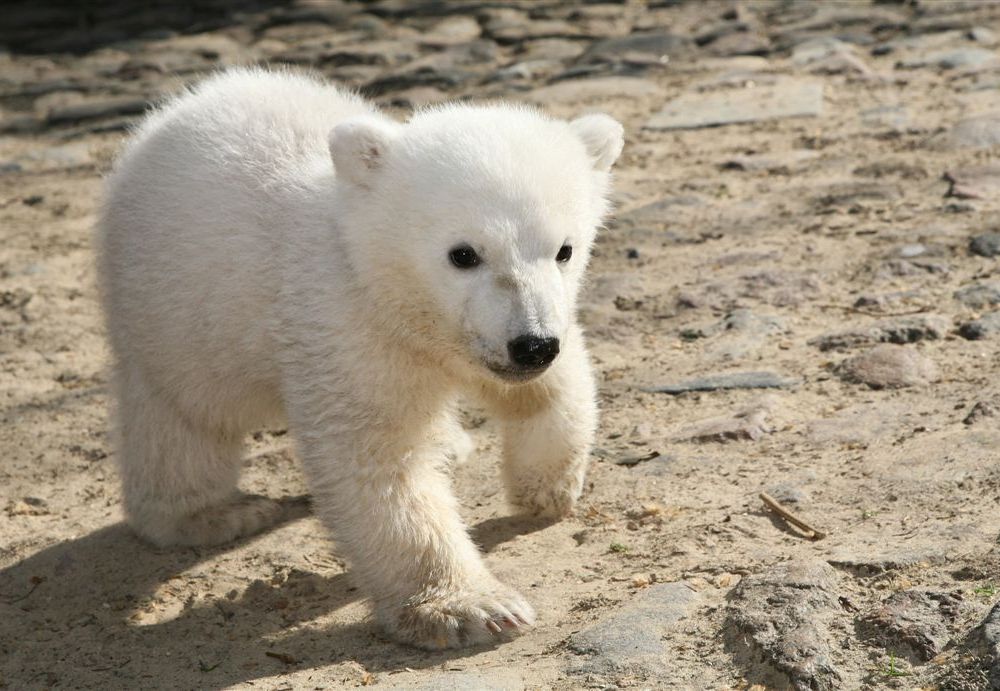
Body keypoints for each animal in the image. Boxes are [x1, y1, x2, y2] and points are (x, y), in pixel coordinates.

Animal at [96, 67, 623, 650]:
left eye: (564, 250)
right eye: (463, 253)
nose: (531, 344)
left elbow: (551, 388)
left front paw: (546, 487)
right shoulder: (345, 321)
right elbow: (379, 459)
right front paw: (471, 609)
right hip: (174, 315)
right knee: (184, 418)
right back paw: (215, 513)